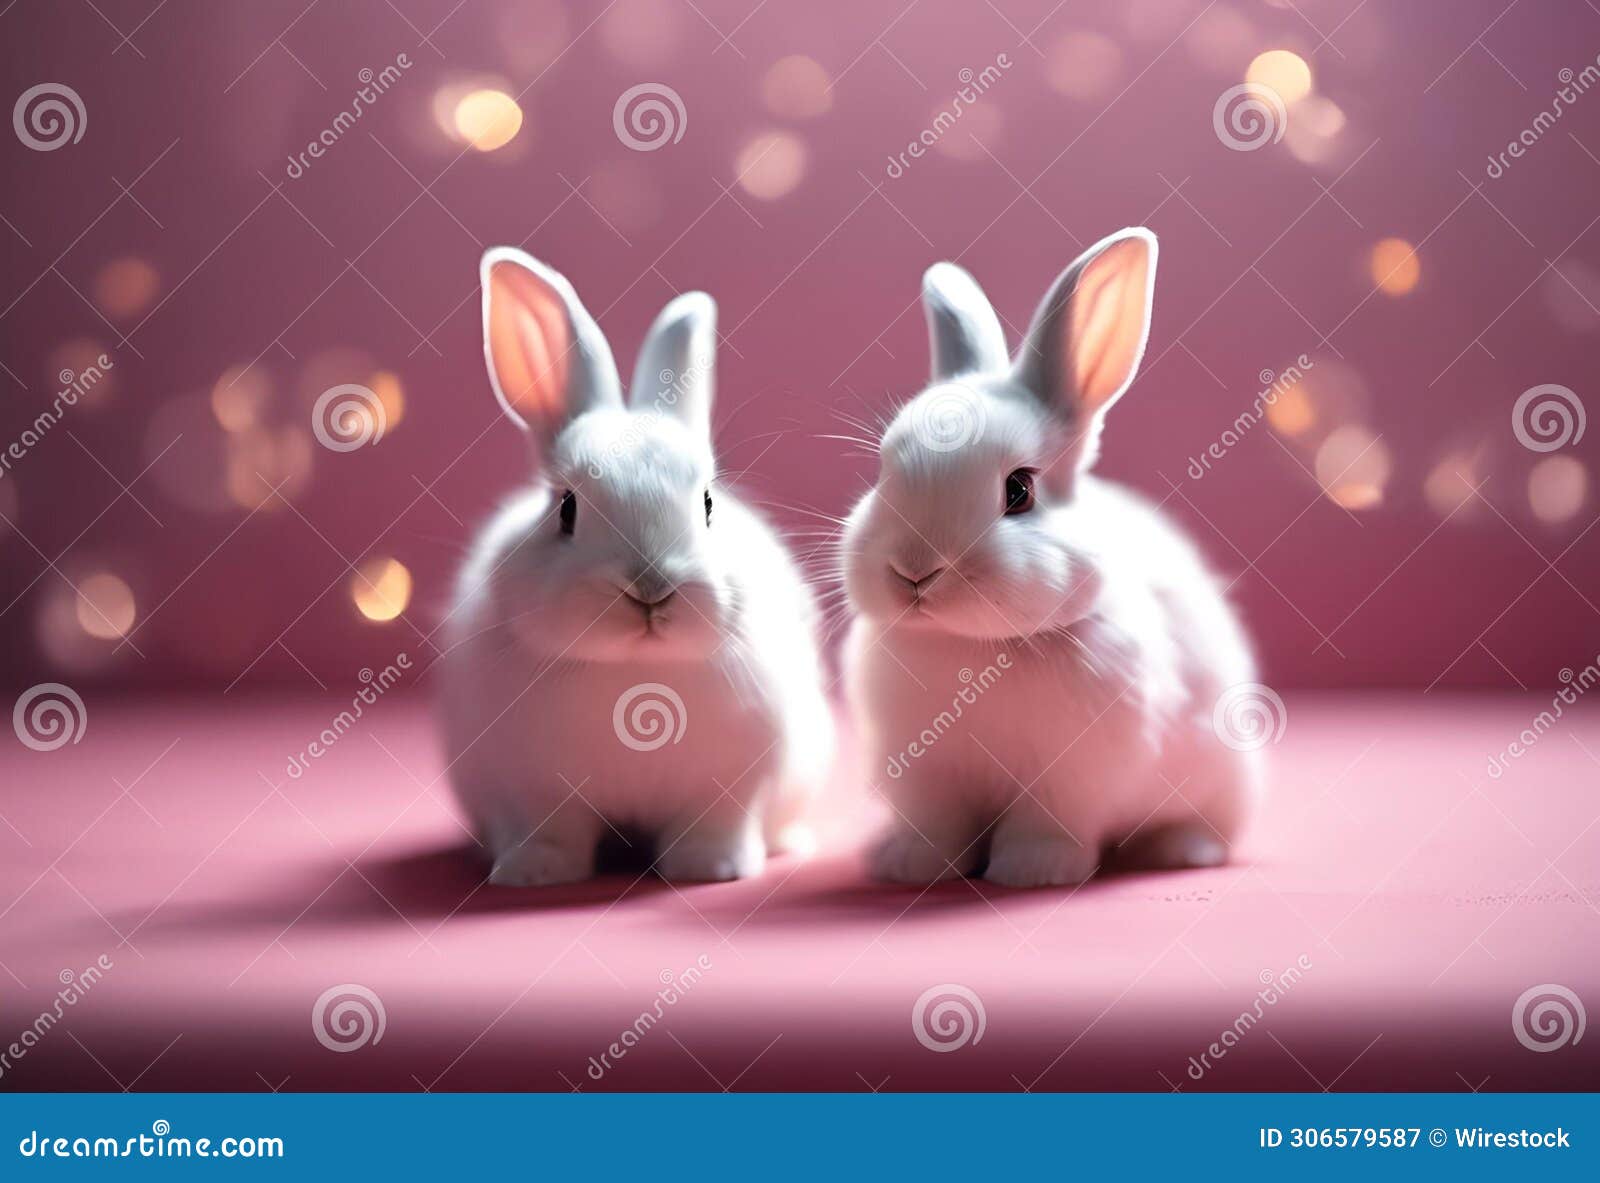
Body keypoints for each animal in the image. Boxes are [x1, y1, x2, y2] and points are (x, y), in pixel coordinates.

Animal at [438, 247, 834, 885]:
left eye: (708, 504)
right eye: (567, 508)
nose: (651, 587)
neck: (636, 674)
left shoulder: (729, 786)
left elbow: (714, 825)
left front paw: (713, 868)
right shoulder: (532, 792)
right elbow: (549, 833)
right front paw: (532, 873)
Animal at [840, 227, 1262, 888]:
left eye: (1019, 491)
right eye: (883, 474)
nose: (913, 571)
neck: (973, 648)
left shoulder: (1070, 780)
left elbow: (1047, 825)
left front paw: (1031, 871)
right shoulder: (928, 779)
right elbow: (935, 826)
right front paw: (909, 864)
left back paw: (1181, 850)